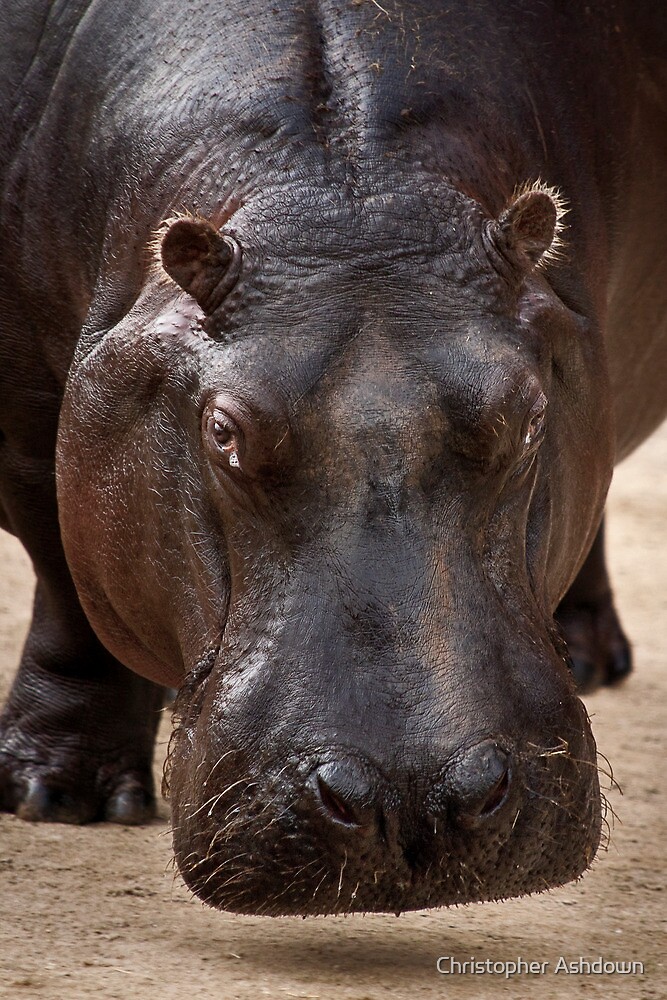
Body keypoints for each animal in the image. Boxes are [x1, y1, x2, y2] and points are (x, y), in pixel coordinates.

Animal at [0, 0, 665, 916]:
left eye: (530, 416)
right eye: (224, 432)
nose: (414, 802)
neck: (345, 195)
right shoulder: (33, 429)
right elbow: (66, 583)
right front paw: (58, 797)